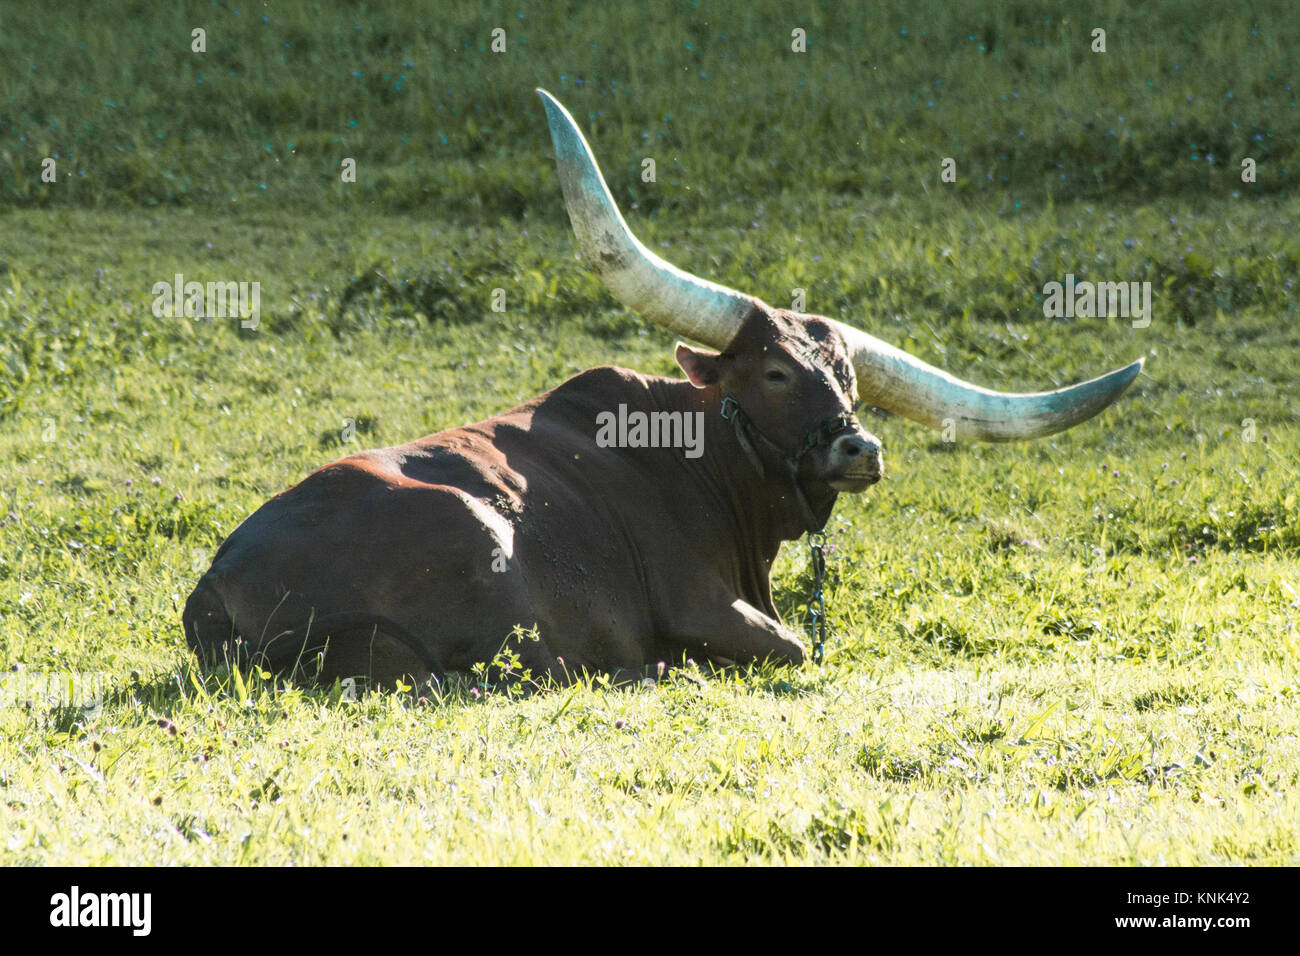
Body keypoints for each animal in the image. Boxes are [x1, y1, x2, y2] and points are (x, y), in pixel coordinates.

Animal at [182, 90, 1143, 690]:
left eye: (850, 379)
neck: (698, 461)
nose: (859, 447)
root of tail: (218, 580)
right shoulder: (701, 604)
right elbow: (794, 648)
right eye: (776, 371)